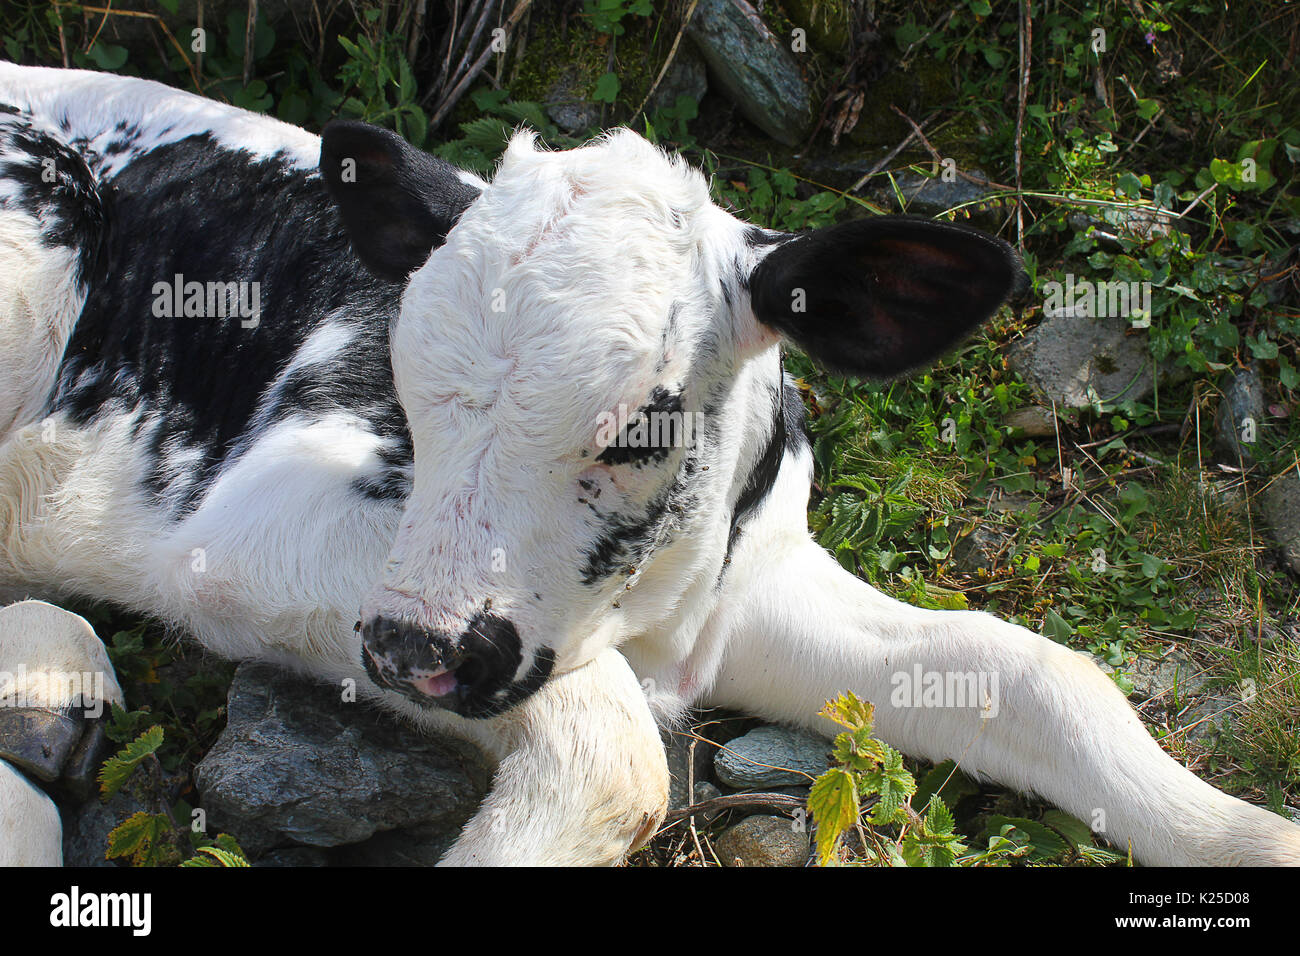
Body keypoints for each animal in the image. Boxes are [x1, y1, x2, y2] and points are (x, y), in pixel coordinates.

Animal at [0, 62, 1296, 866]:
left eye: (641, 427)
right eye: (405, 383)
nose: (415, 647)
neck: (654, 614)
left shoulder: (745, 588)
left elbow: (1024, 667)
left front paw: (1250, 832)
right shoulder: (254, 525)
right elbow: (620, 754)